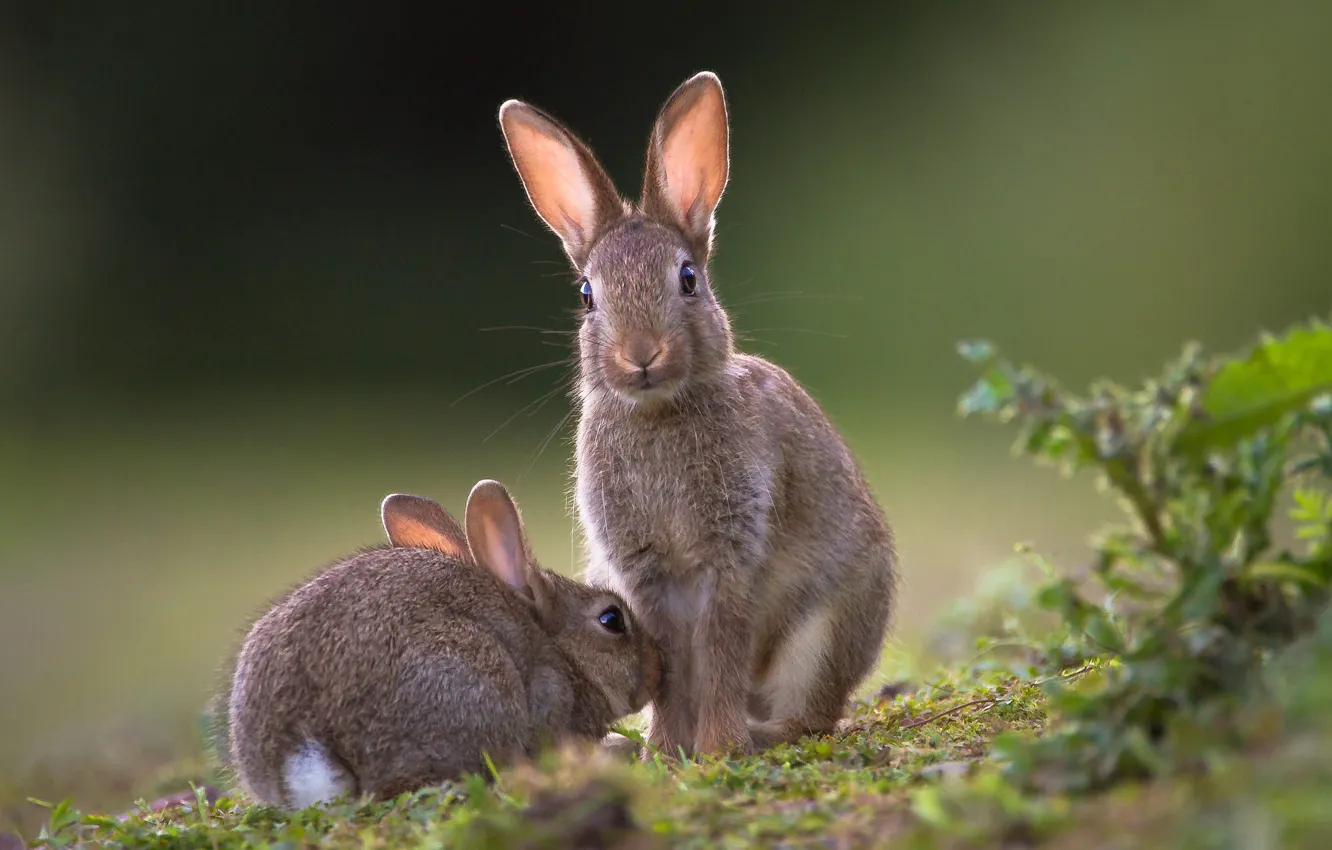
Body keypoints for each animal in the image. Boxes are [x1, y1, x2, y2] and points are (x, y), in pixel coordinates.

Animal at [497, 72, 897, 758]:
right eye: (587, 296)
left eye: (687, 279)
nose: (640, 355)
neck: (657, 412)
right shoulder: (644, 569)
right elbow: (670, 658)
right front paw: (664, 750)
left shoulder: (730, 553)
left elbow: (719, 648)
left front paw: (716, 748)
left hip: (822, 633)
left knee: (814, 713)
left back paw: (762, 733)